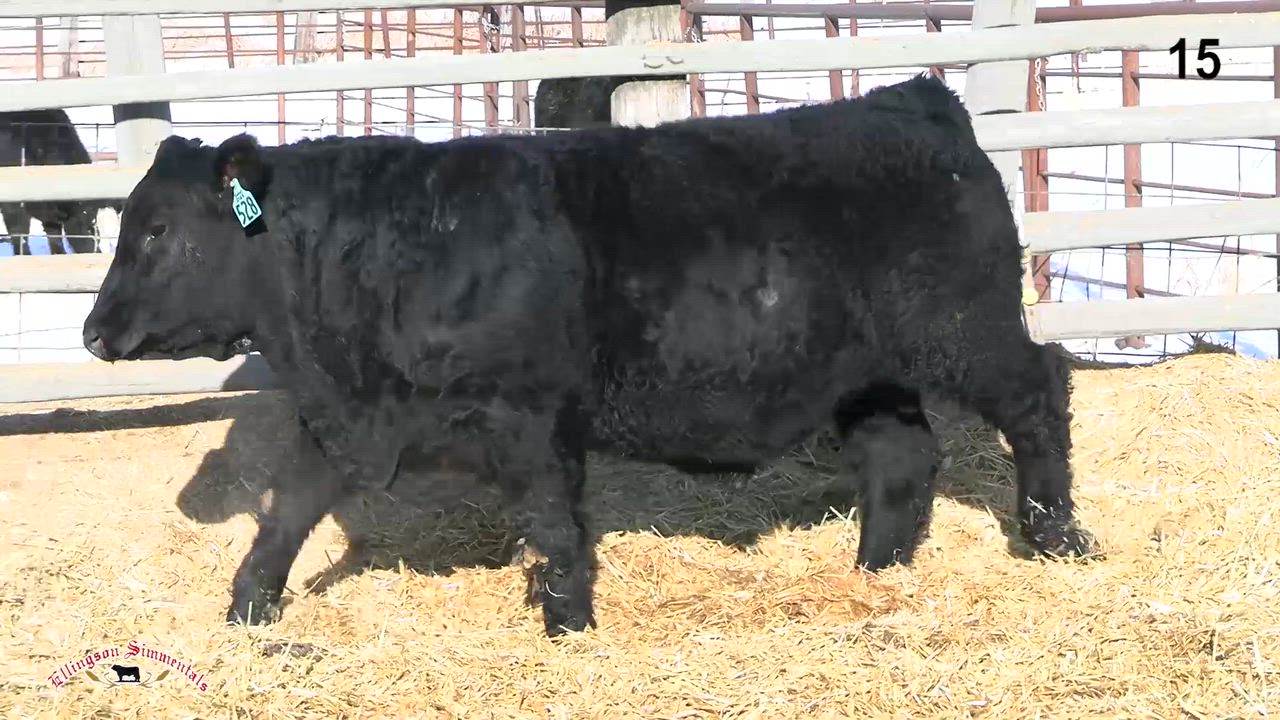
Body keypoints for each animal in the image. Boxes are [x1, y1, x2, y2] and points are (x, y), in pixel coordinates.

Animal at [81, 74, 1098, 638]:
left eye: (159, 230)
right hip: (868, 372)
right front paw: (247, 606)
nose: (93, 334)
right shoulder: (346, 422)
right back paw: (876, 569)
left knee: (1039, 394)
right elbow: (285, 514)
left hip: (968, 332)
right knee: (900, 456)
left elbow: (554, 524)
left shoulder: (532, 418)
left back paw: (1056, 536)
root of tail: (914, 101)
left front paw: (568, 622)